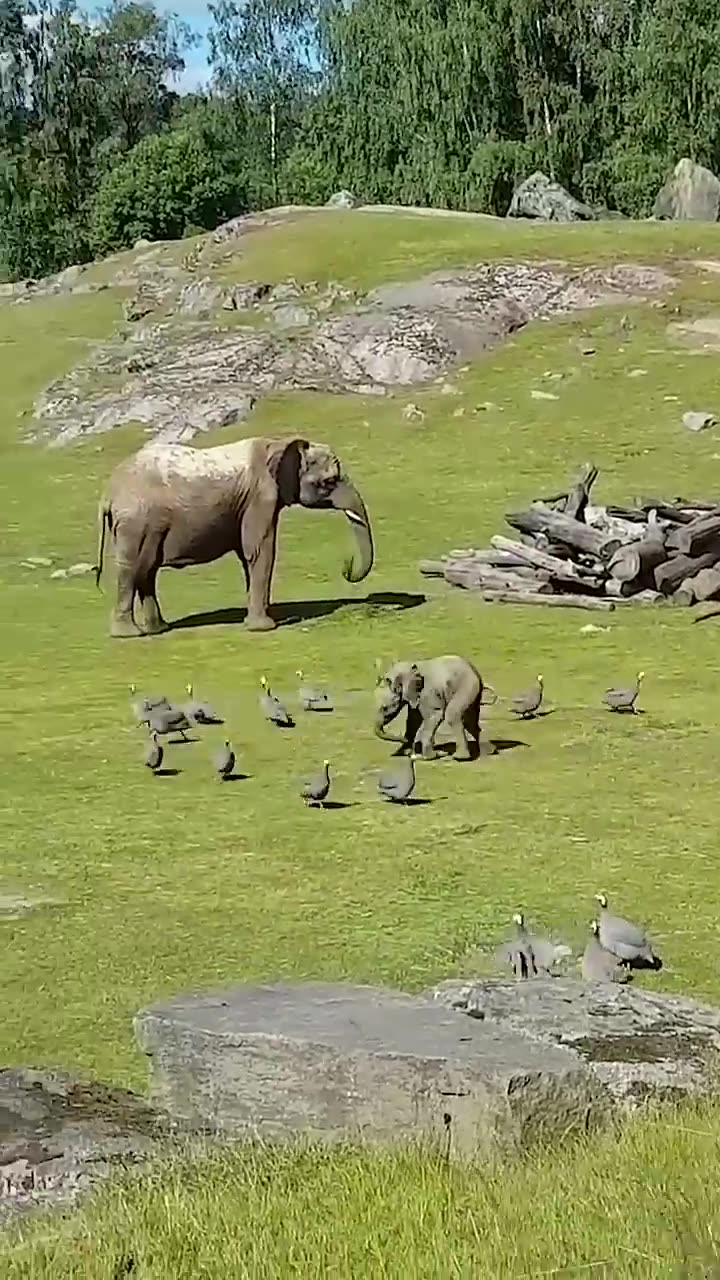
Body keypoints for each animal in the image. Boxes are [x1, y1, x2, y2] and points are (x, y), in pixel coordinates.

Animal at [94, 436, 374, 637]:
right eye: (329, 482)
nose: (346, 566)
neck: (279, 443)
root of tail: (108, 494)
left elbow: (248, 554)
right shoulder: (260, 498)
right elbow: (260, 551)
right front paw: (264, 628)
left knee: (147, 570)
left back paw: (157, 629)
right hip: (136, 522)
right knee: (132, 569)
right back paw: (128, 635)